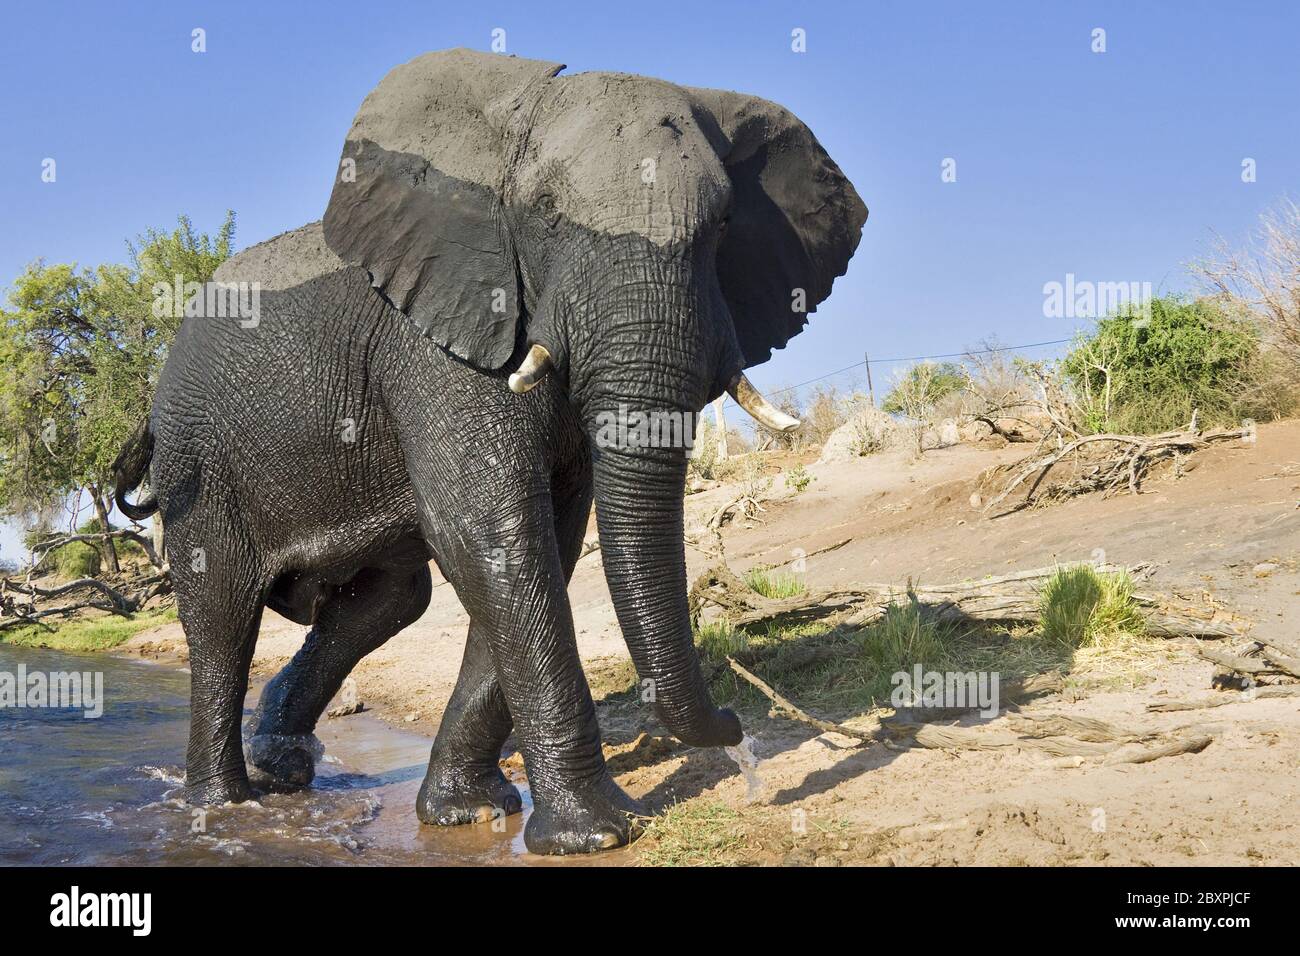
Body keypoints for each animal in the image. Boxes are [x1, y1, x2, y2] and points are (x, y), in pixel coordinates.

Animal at [113, 48, 867, 854]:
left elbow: (546, 540)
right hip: (199, 457)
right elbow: (495, 533)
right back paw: (223, 807)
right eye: (545, 217)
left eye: (725, 226)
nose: (734, 726)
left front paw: (468, 813)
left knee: (386, 602)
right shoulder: (436, 344)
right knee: (223, 614)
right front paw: (598, 835)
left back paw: (281, 766)